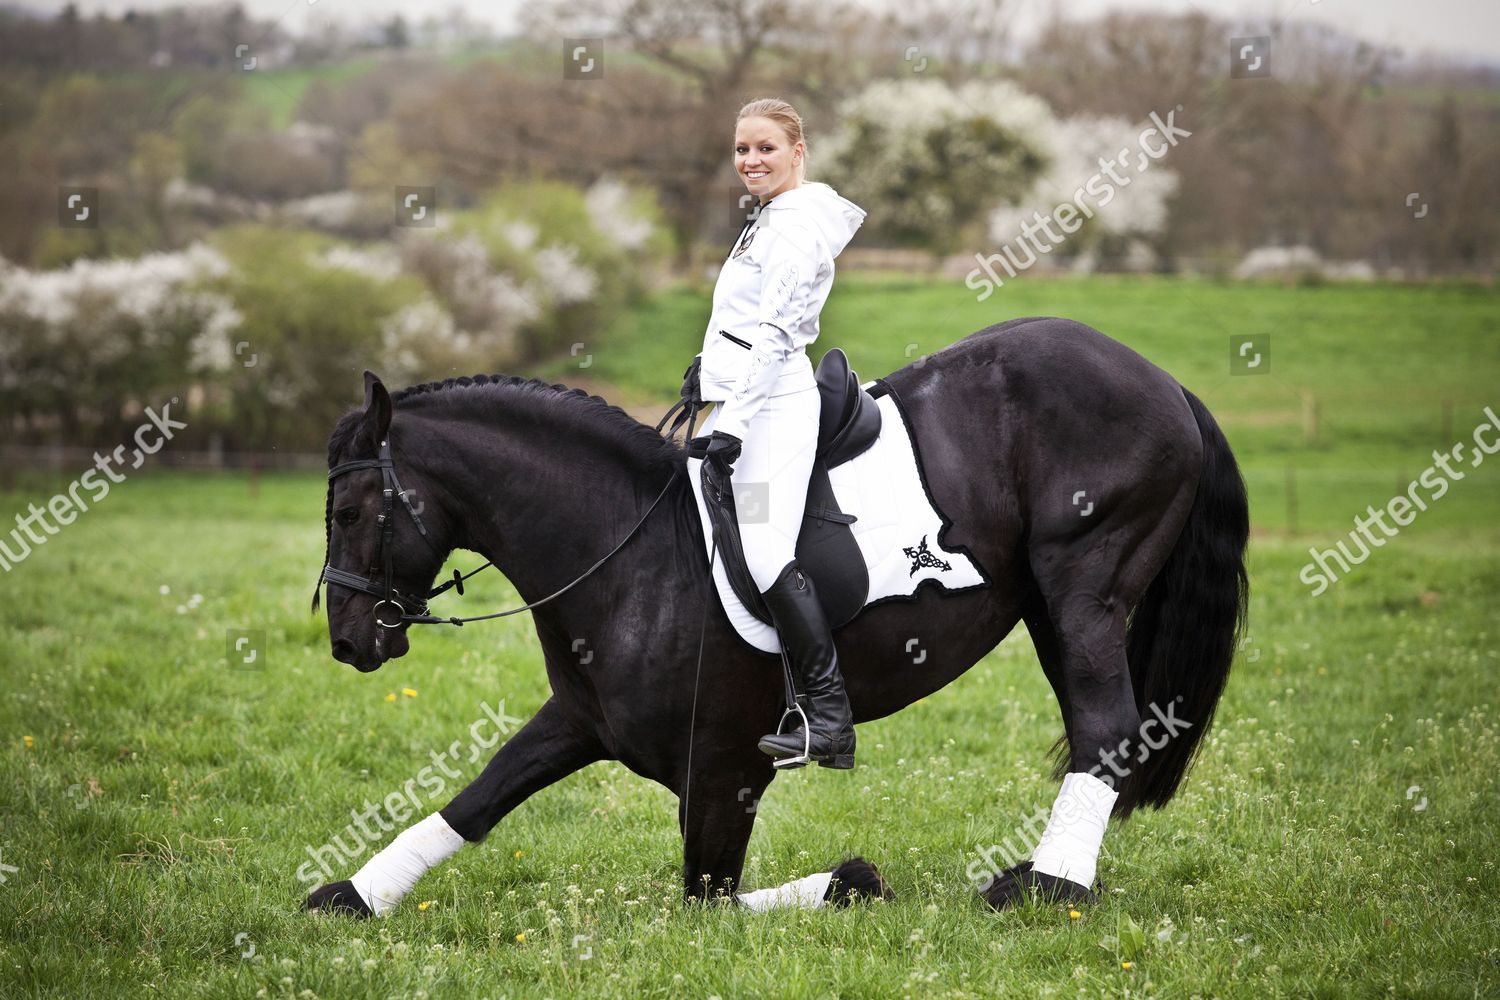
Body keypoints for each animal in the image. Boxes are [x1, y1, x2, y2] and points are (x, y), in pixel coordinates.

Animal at [302, 315, 1248, 916]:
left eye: (349, 512)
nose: (347, 641)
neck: (631, 550)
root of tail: (1161, 380)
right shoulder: (580, 721)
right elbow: (477, 801)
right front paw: (352, 896)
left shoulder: (725, 773)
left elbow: (707, 901)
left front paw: (851, 882)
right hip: (1050, 608)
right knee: (1108, 730)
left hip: (1084, 586)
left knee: (1105, 724)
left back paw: (1047, 891)